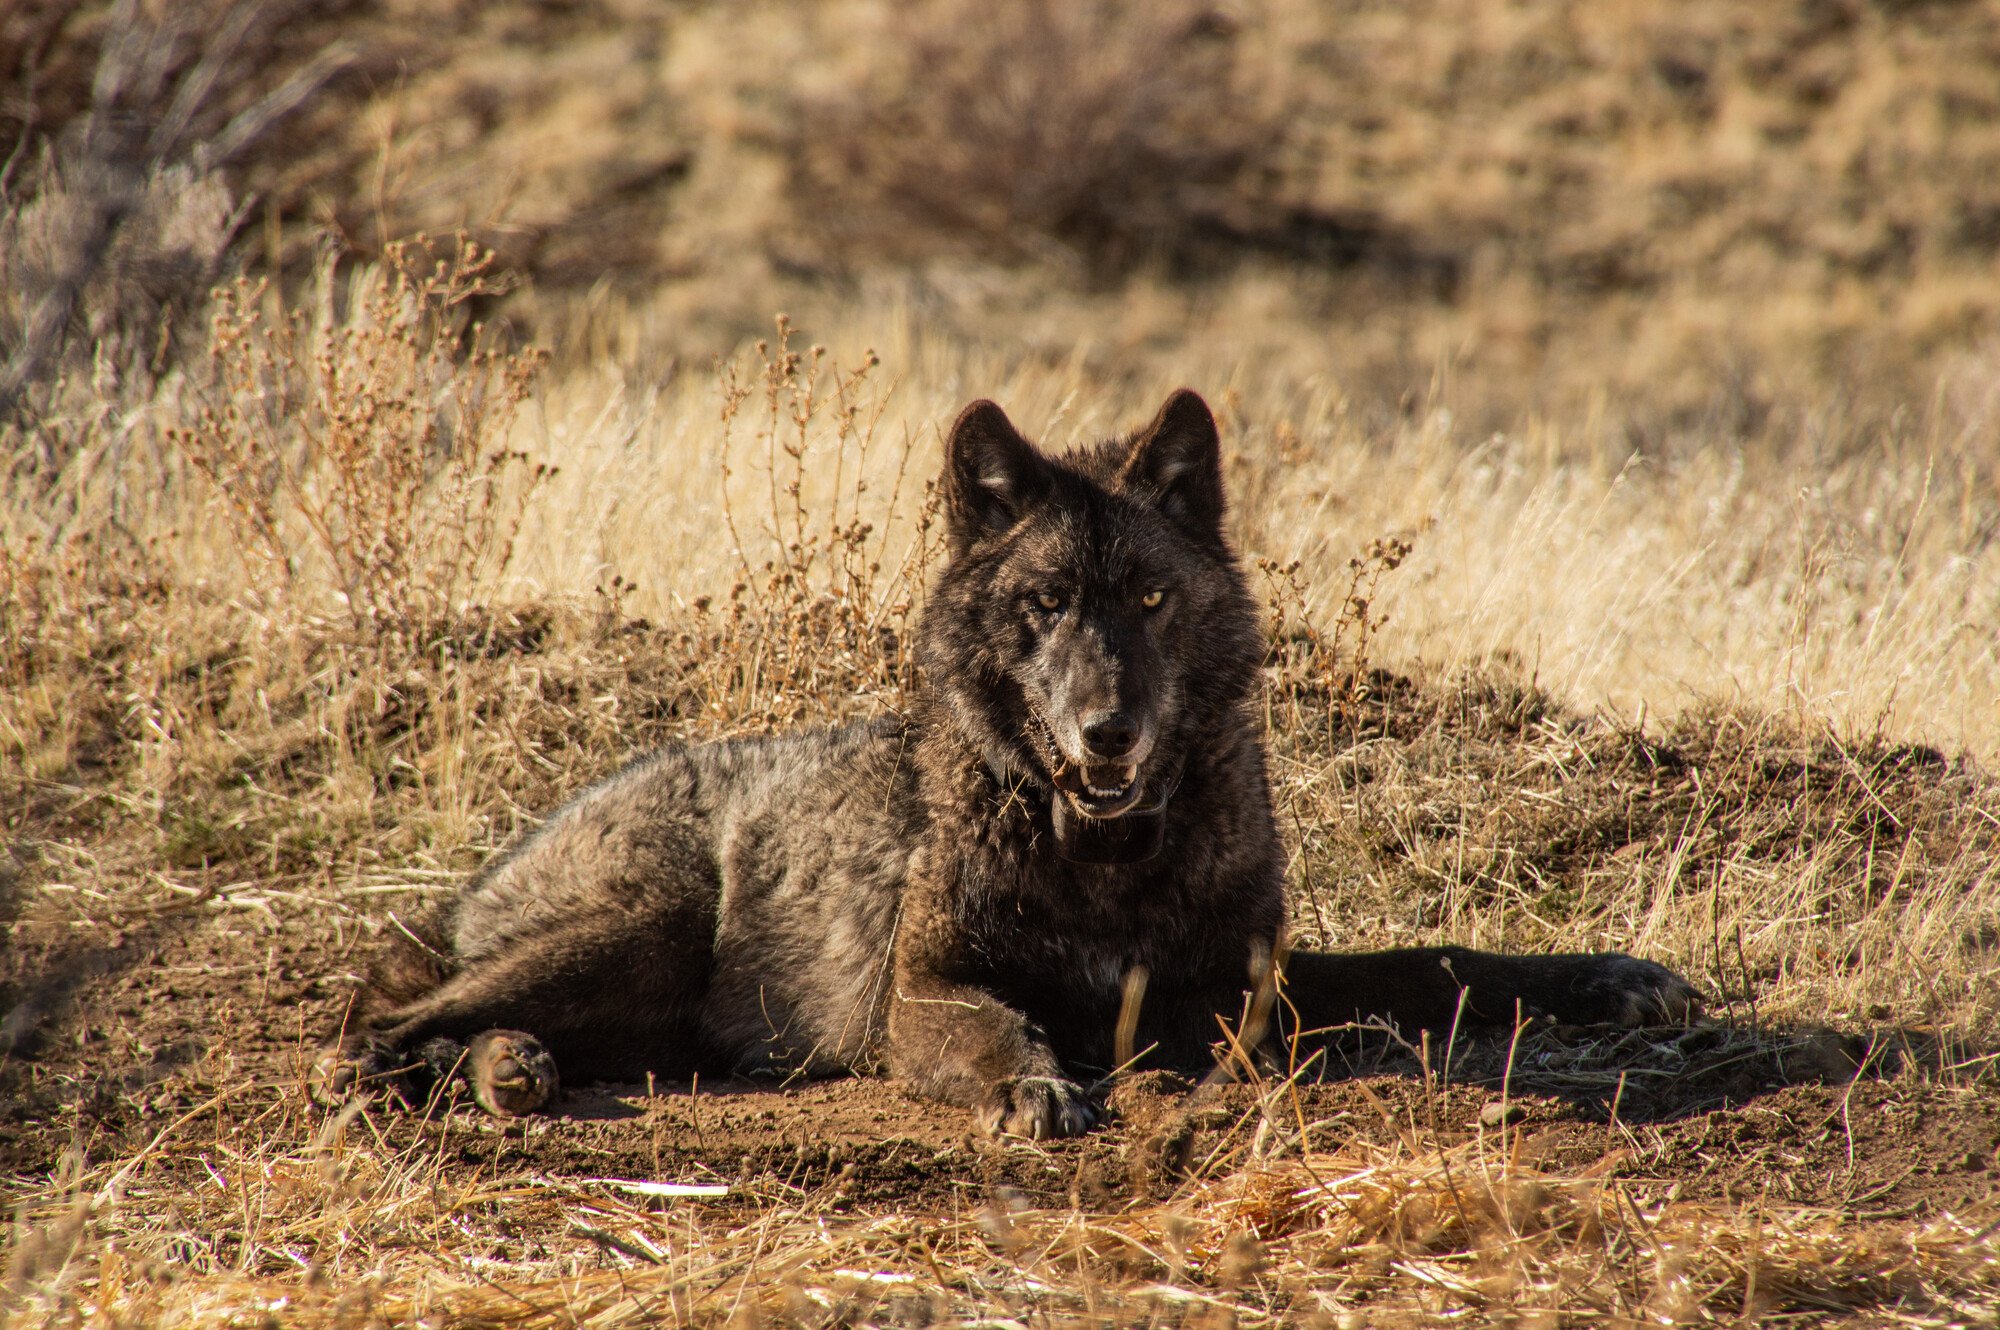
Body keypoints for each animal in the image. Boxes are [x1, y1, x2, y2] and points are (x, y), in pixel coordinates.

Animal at [317, 390, 1697, 1137]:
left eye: (1146, 598)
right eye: (1043, 604)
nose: (1107, 734)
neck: (1103, 858)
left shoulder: (1245, 981)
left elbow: (1443, 964)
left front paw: (1605, 978)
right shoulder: (922, 993)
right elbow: (998, 1028)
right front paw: (1034, 1089)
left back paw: (509, 1070)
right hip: (642, 927)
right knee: (376, 1021)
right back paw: (430, 1073)